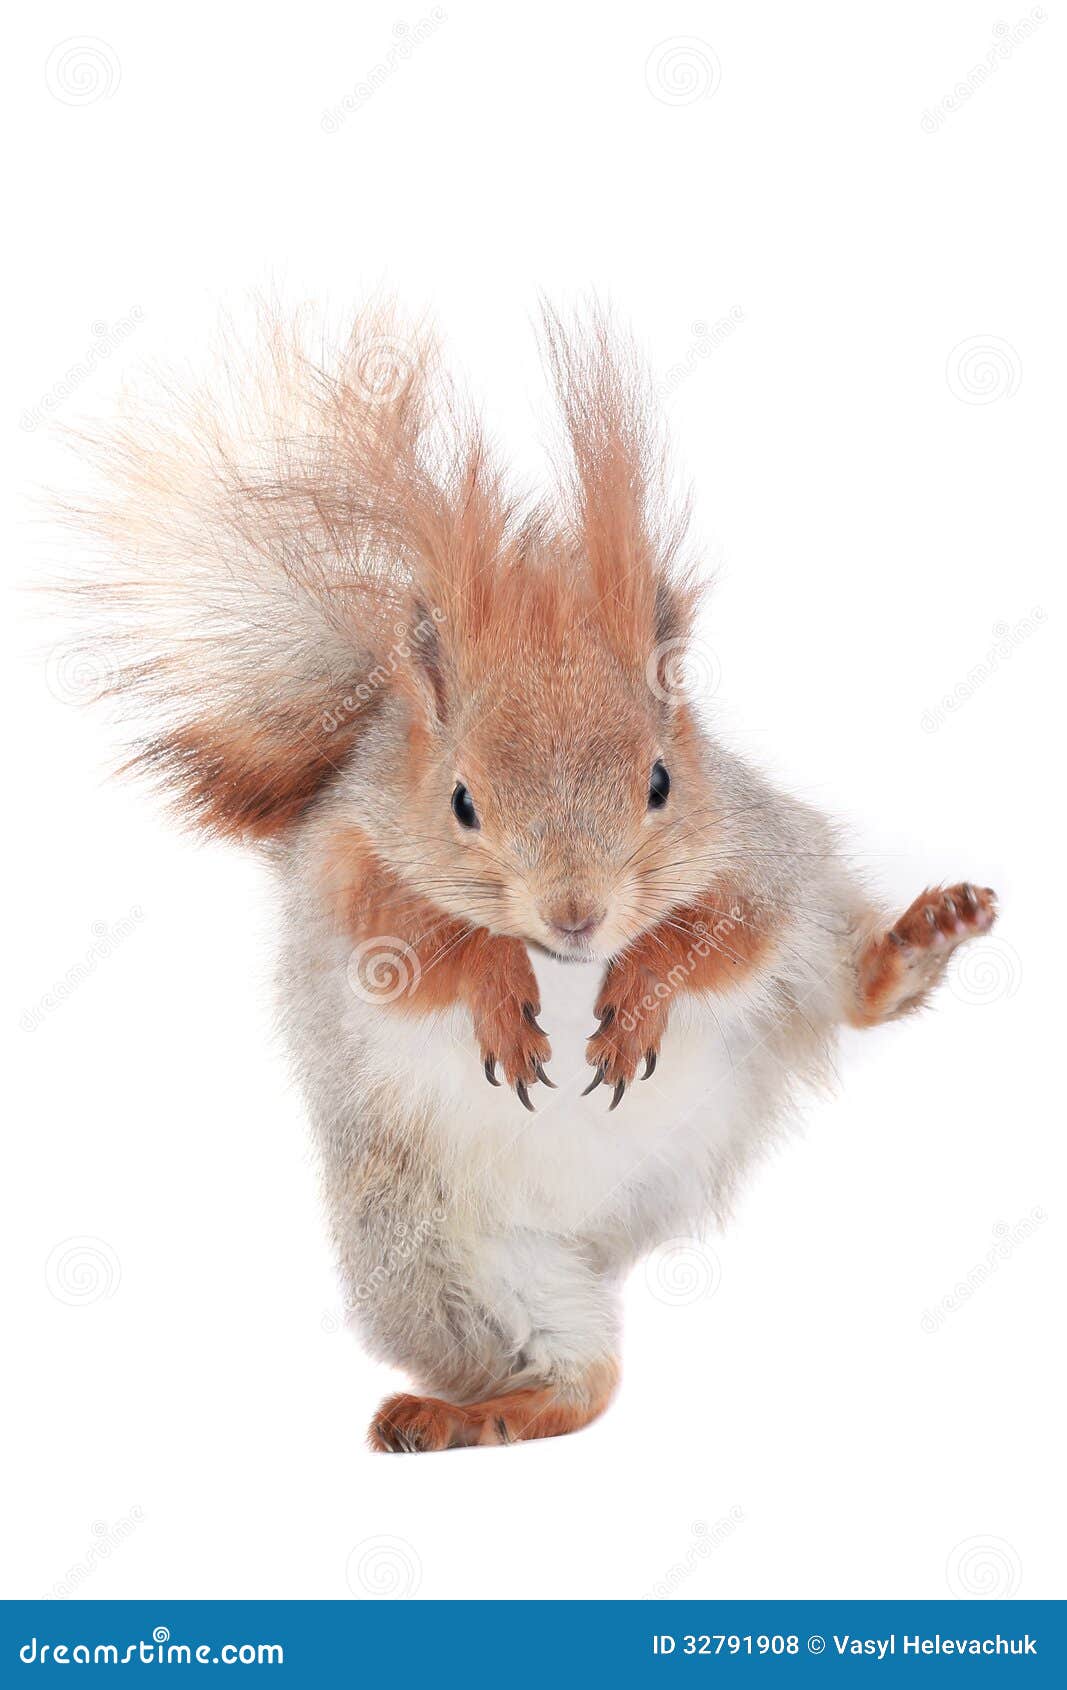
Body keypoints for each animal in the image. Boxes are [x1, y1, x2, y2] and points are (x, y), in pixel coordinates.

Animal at [58, 303, 997, 1453]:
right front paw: (499, 984)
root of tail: (605, 1233)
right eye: (461, 801)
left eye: (660, 779)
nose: (575, 915)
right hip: (441, 1260)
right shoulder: (348, 875)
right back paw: (462, 1417)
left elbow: (724, 930)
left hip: (806, 940)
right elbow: (421, 945)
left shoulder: (756, 851)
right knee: (575, 1380)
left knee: (844, 991)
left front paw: (638, 992)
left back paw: (923, 939)